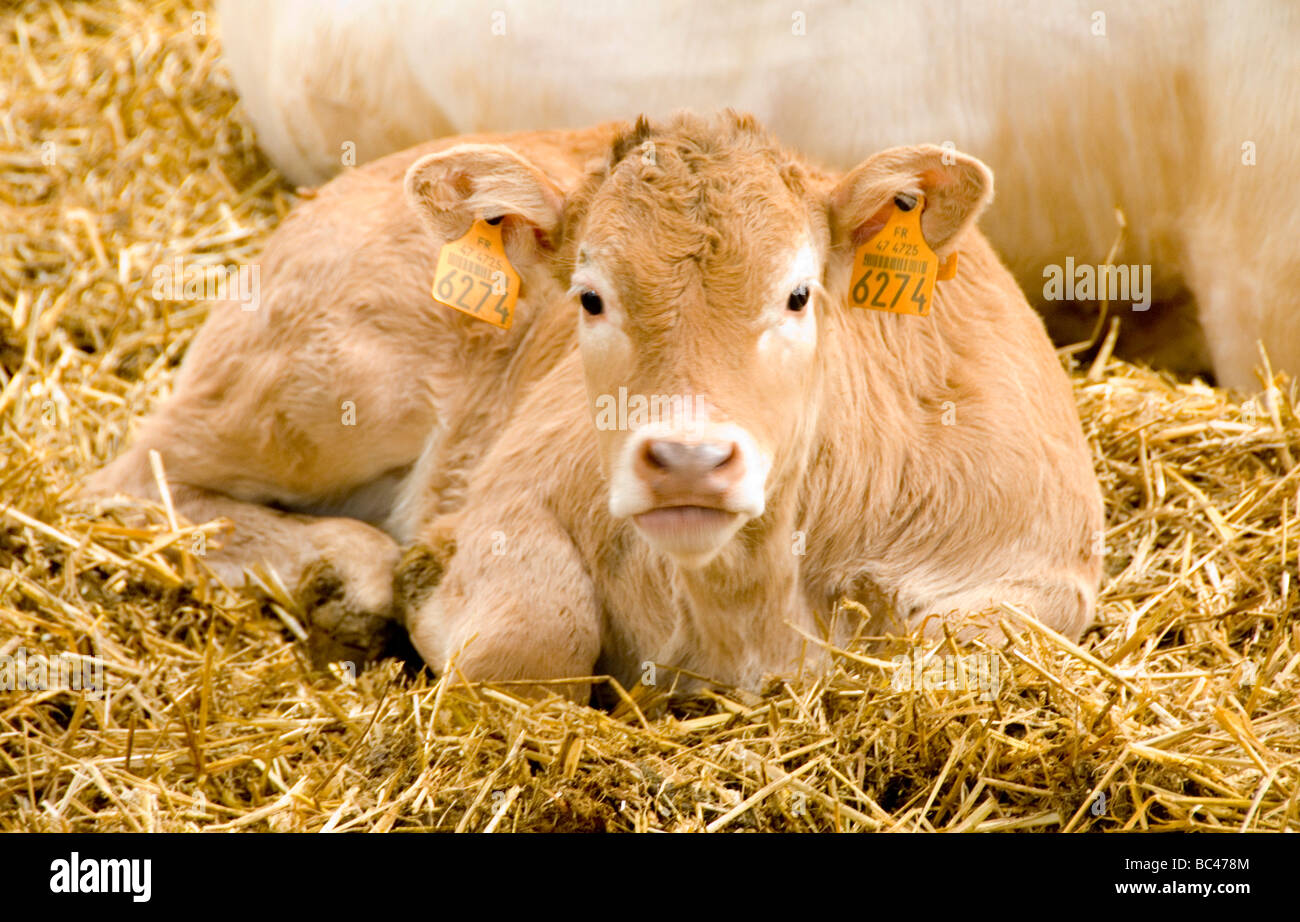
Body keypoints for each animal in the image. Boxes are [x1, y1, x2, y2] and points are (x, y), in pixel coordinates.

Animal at [82, 112, 1103, 698]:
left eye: (799, 295)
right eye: (590, 297)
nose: (688, 460)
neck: (746, 600)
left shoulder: (1045, 563)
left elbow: (951, 656)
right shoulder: (511, 490)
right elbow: (537, 631)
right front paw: (421, 584)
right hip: (325, 387)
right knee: (131, 480)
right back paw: (353, 572)